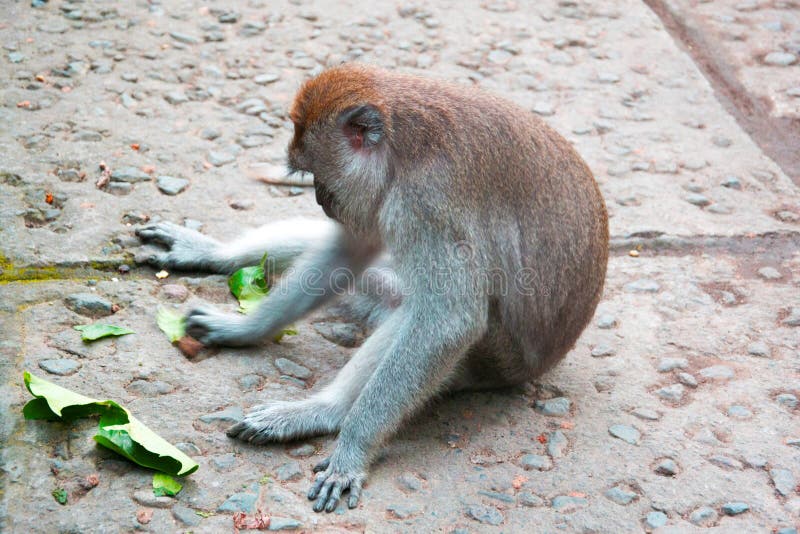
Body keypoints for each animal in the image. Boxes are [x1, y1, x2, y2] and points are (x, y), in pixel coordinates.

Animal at [136, 63, 609, 513]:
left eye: (316, 172)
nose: (321, 199)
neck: (401, 147)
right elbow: (349, 248)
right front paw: (244, 328)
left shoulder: (426, 204)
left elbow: (449, 321)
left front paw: (353, 452)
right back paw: (215, 254)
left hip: (495, 363)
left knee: (421, 319)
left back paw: (326, 413)